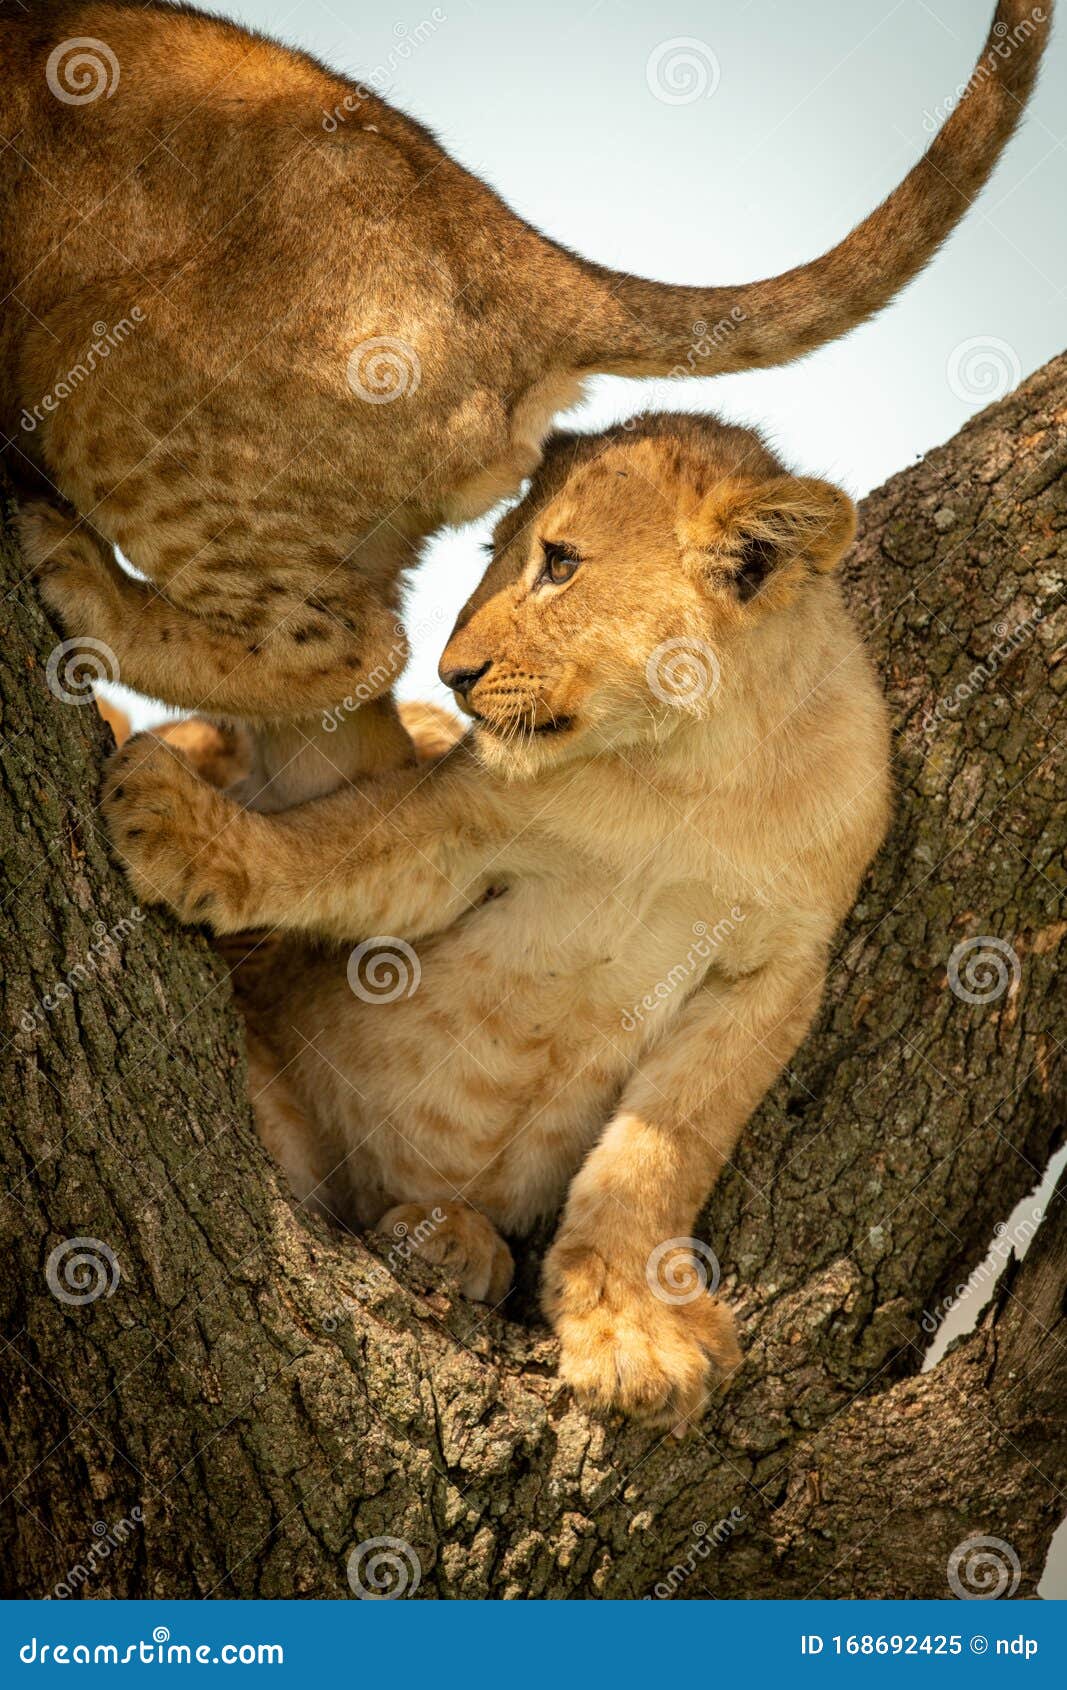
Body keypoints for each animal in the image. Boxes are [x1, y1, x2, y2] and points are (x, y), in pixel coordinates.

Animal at [91, 411, 890, 1427]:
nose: (451, 672)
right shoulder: (460, 832)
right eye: (493, 550)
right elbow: (325, 849)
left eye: (559, 563)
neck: (683, 770)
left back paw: (455, 1240)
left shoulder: (776, 970)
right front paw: (171, 824)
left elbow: (659, 1153)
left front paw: (632, 1332)